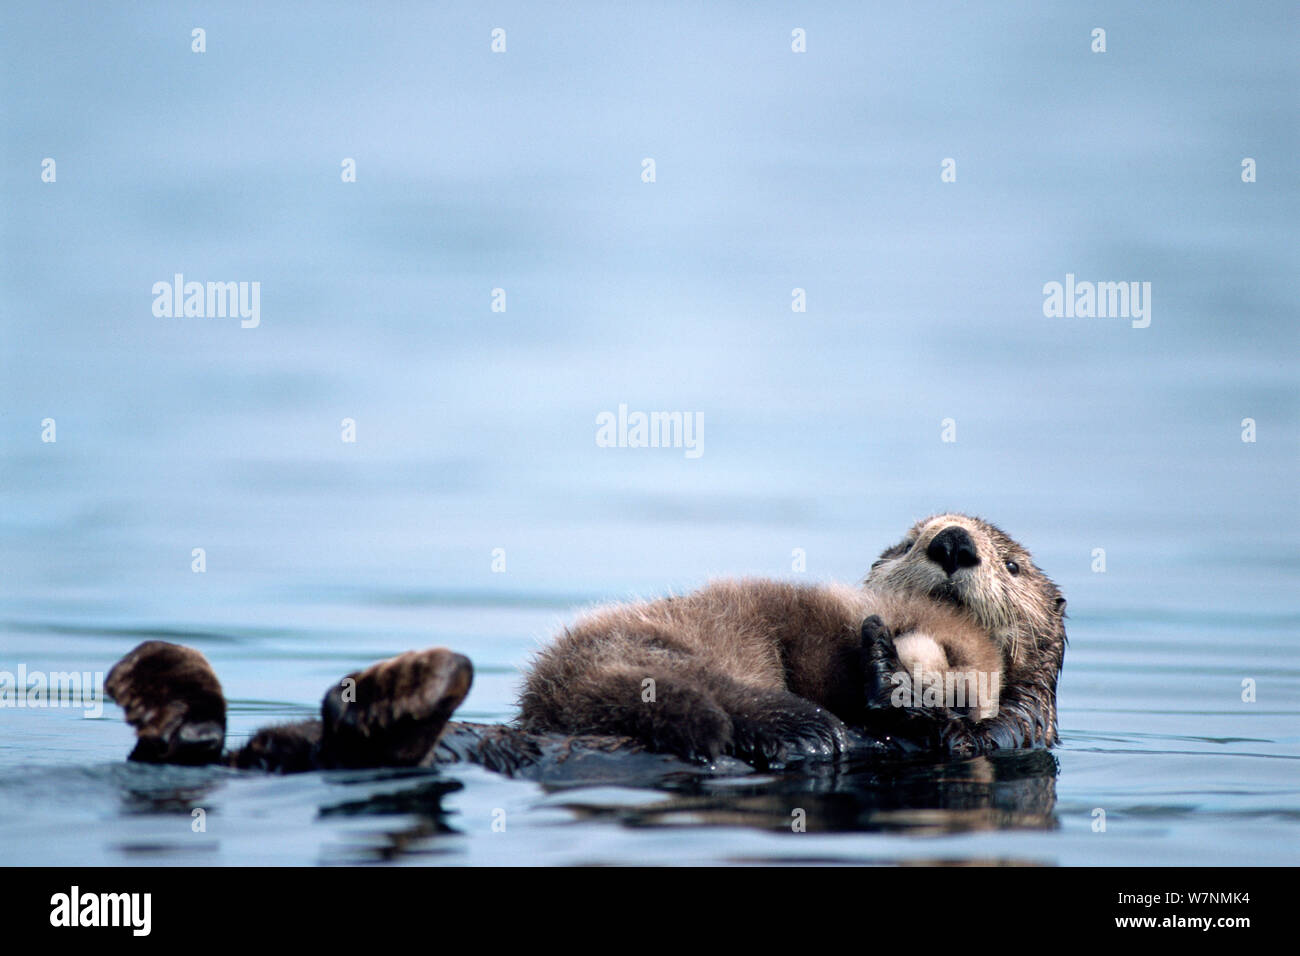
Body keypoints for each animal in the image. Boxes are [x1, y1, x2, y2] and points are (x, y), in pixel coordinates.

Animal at [103, 513, 1065, 774]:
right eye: (908, 538)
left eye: (1013, 565)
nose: (954, 543)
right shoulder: (804, 620)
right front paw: (879, 671)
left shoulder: (1010, 728)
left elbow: (959, 732)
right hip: (647, 657)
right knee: (722, 703)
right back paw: (794, 730)